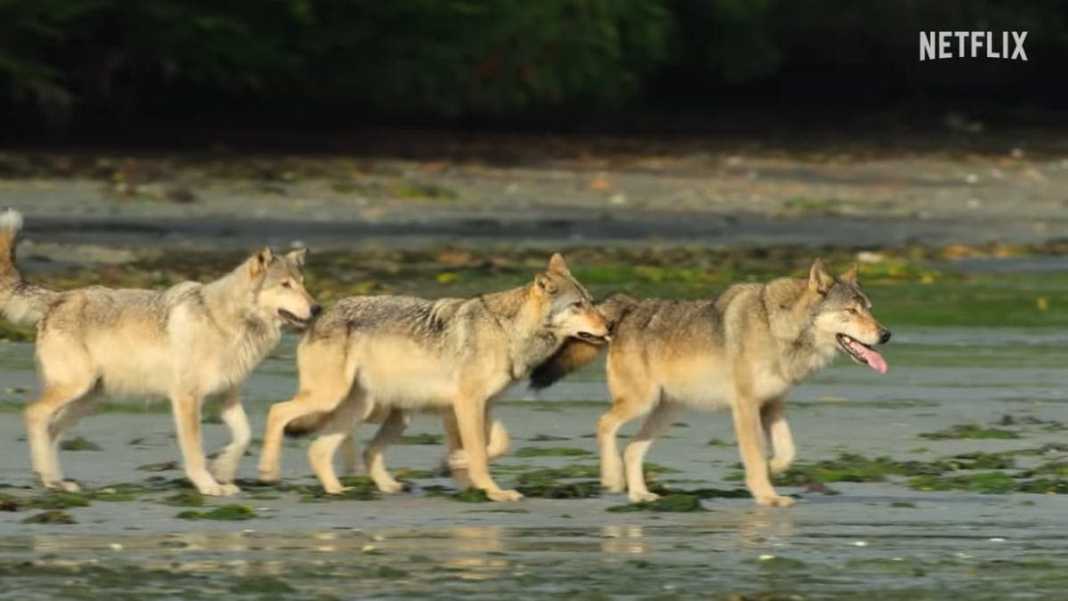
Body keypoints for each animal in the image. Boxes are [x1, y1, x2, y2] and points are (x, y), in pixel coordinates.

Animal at [0, 210, 319, 496]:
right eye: (285, 285)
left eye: (304, 284)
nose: (318, 309)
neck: (227, 322)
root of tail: (58, 297)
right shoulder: (187, 399)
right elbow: (195, 451)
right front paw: (207, 485)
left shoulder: (225, 396)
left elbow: (243, 435)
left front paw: (224, 471)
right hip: (75, 389)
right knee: (33, 415)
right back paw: (48, 479)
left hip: (89, 400)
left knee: (51, 429)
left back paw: (56, 481)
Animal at [257, 254, 609, 501]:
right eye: (578, 305)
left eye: (591, 302)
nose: (610, 326)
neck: (507, 331)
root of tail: (319, 313)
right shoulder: (467, 402)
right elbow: (480, 454)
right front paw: (492, 490)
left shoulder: (482, 405)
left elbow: (497, 444)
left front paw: (454, 462)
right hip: (331, 398)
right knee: (277, 411)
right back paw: (268, 471)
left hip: (375, 412)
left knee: (324, 450)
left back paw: (342, 492)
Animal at [530, 259, 891, 507]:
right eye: (851, 311)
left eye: (870, 309)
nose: (886, 334)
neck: (779, 327)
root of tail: (632, 305)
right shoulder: (745, 406)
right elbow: (754, 454)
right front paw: (767, 495)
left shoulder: (772, 405)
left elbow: (787, 451)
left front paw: (774, 468)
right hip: (642, 403)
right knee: (604, 425)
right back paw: (612, 479)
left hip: (666, 413)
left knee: (631, 448)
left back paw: (641, 495)